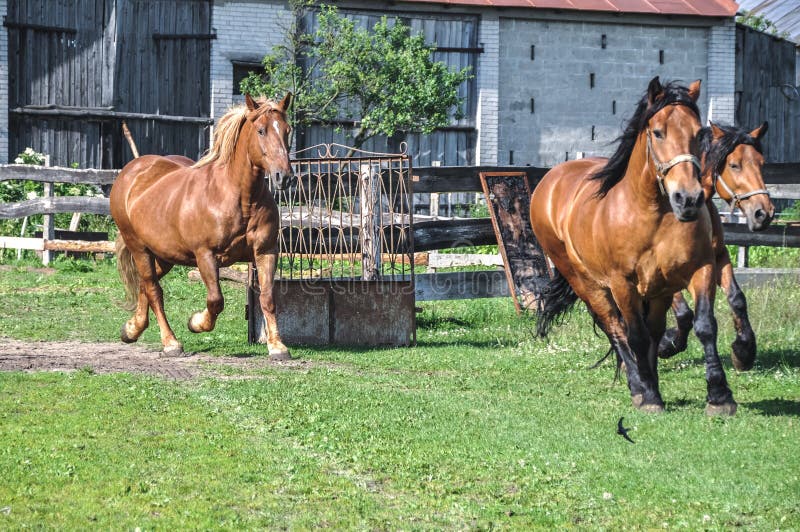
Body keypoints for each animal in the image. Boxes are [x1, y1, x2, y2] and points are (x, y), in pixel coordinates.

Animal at [110, 93, 295, 359]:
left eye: (287, 130)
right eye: (261, 130)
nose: (284, 176)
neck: (239, 198)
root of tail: (131, 171)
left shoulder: (265, 252)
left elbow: (268, 298)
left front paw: (277, 346)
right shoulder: (205, 255)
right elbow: (215, 300)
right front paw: (195, 322)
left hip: (164, 256)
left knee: (146, 285)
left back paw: (132, 329)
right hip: (139, 249)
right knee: (154, 290)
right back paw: (171, 343)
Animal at [529, 77, 737, 415]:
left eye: (698, 133)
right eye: (658, 132)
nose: (688, 199)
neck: (650, 214)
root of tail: (550, 181)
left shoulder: (700, 269)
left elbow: (705, 325)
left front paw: (720, 397)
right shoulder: (622, 283)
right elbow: (635, 336)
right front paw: (650, 396)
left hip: (658, 289)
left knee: (651, 330)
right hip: (587, 283)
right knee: (615, 328)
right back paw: (640, 386)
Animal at [658, 121, 772, 371]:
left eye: (762, 163)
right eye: (734, 164)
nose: (764, 213)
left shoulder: (718, 258)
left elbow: (737, 299)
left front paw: (743, 351)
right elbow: (684, 313)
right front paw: (668, 344)